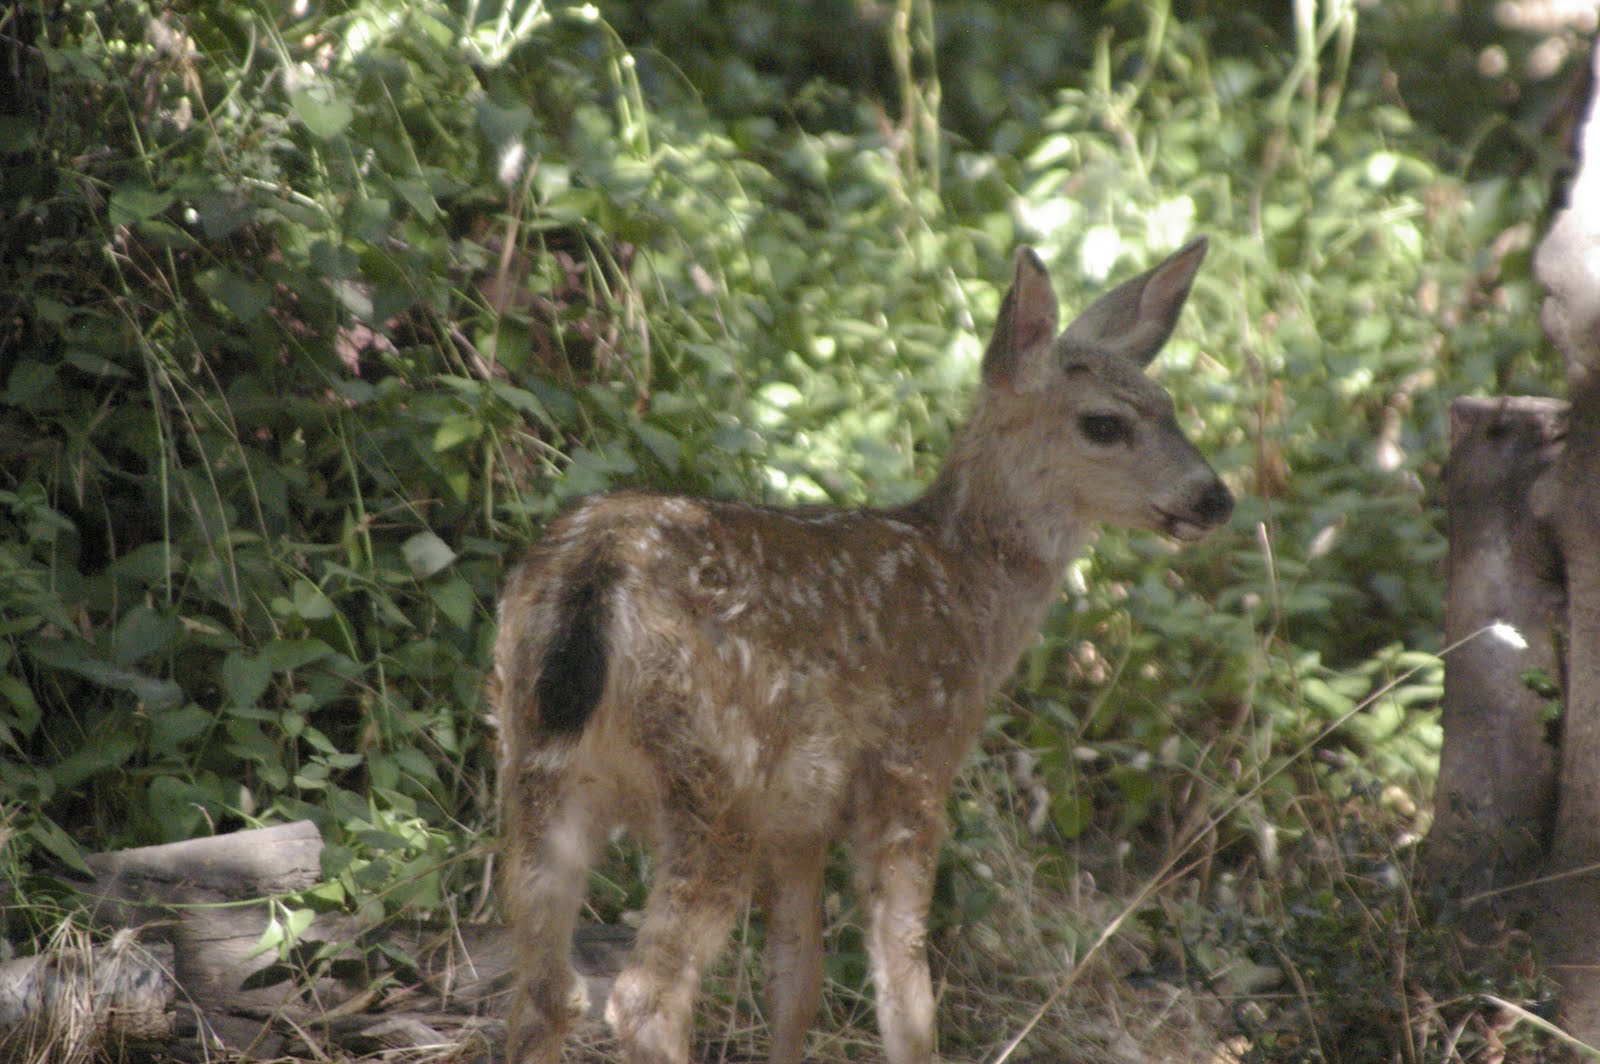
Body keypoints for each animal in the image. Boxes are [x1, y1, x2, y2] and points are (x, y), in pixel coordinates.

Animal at [491, 237, 1234, 1064]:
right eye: (1104, 423)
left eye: (1169, 406)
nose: (1214, 498)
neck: (967, 584)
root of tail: (596, 574)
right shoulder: (911, 766)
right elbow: (905, 986)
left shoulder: (800, 817)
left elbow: (796, 979)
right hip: (712, 777)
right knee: (643, 996)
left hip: (538, 764)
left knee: (546, 992)